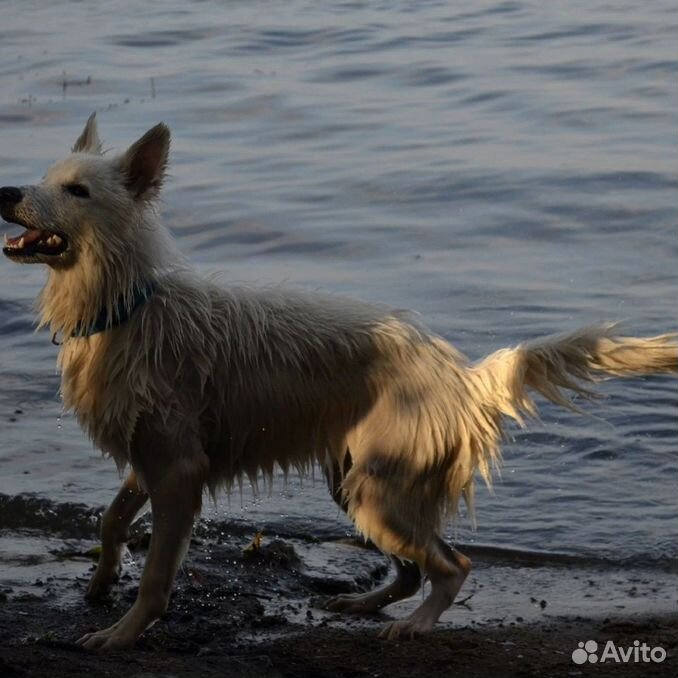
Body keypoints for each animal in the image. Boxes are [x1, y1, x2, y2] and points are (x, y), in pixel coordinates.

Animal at [2, 114, 676, 652]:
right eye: (45, 176)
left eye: (77, 190)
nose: (7, 191)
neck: (125, 306)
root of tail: (460, 376)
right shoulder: (152, 457)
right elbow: (111, 520)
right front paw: (100, 582)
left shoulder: (179, 472)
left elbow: (158, 578)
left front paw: (119, 633)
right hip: (357, 481)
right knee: (415, 566)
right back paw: (362, 603)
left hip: (378, 490)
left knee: (452, 565)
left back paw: (414, 625)